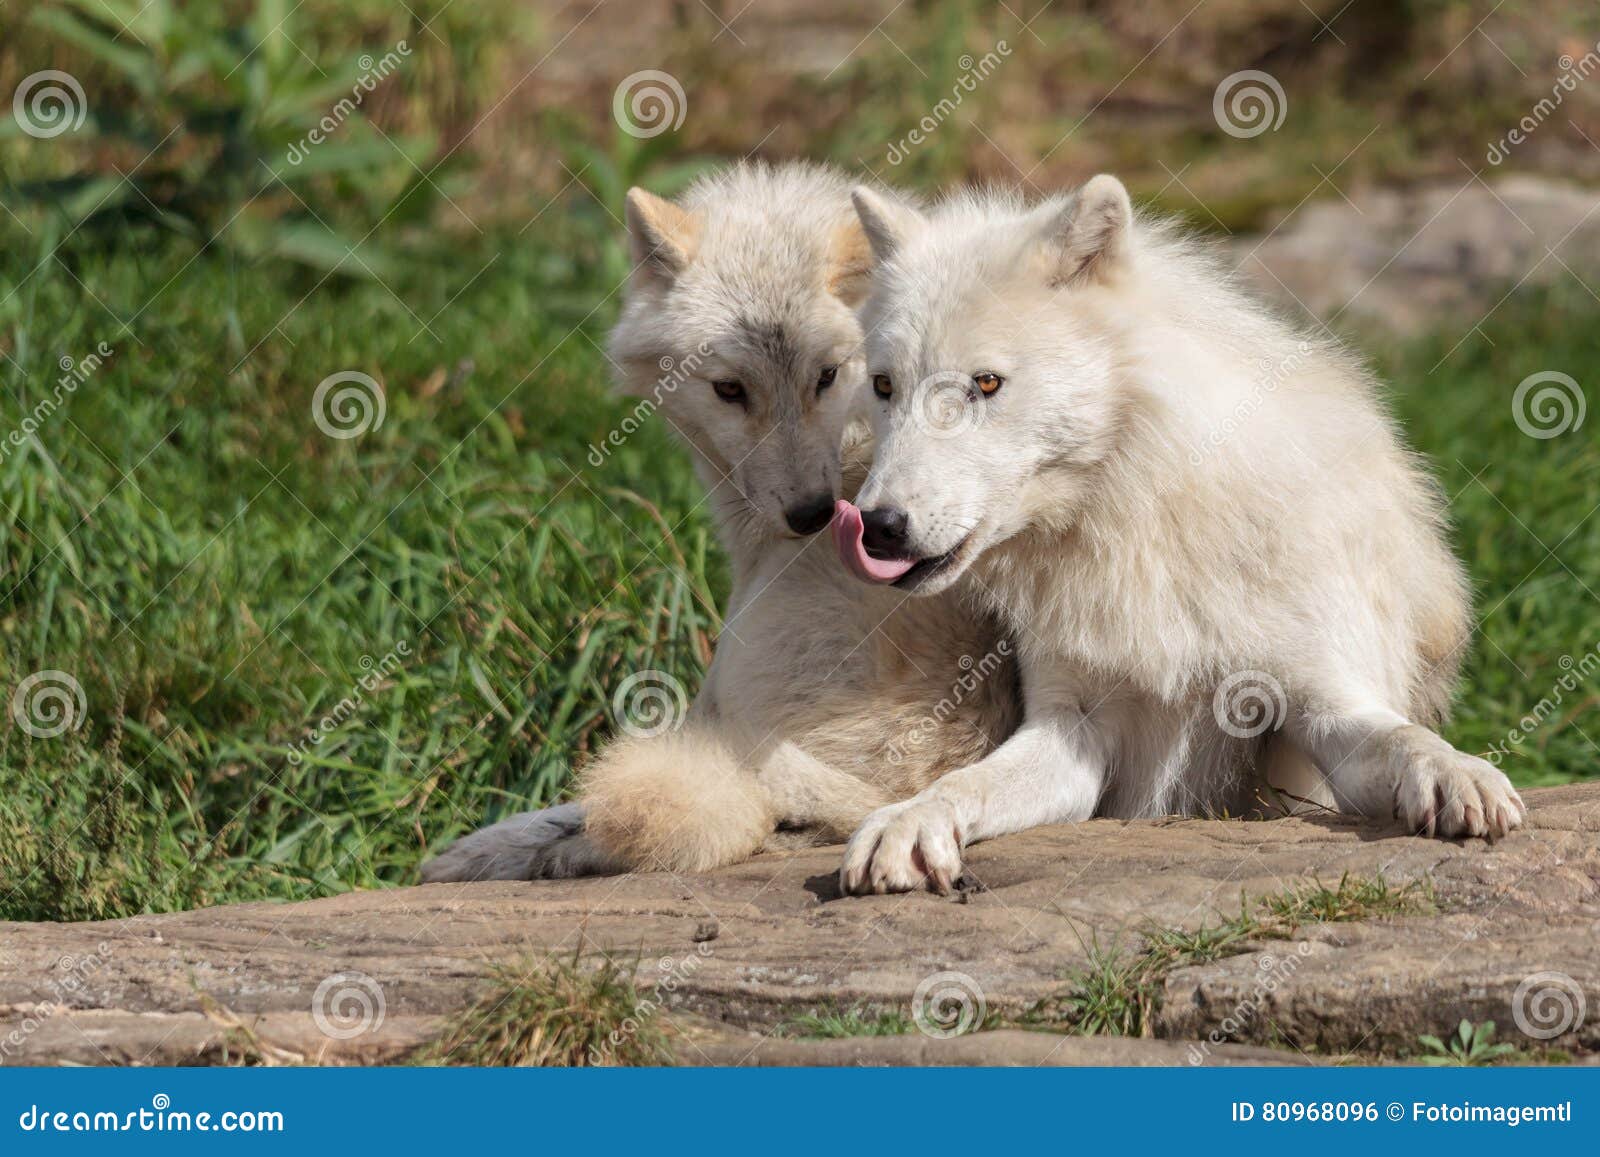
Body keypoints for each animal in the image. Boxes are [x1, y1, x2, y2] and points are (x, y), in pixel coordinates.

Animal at [831, 174, 1525, 894]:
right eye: (884, 386)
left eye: (986, 383)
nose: (877, 527)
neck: (1139, 519)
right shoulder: (1073, 731)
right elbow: (964, 782)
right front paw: (908, 821)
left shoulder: (1317, 702)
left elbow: (1400, 736)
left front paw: (1456, 771)